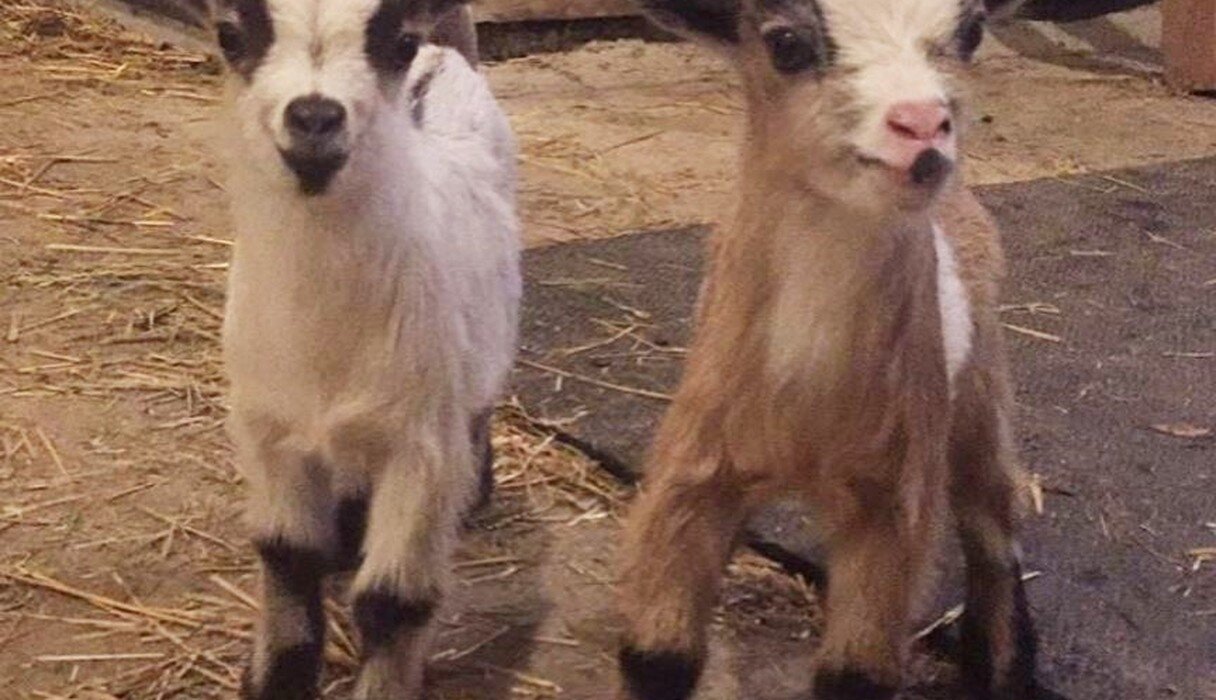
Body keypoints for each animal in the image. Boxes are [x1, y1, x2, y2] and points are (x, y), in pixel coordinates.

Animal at [211, 1, 520, 698]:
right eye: (230, 34)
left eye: (396, 42)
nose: (314, 117)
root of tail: (443, 56)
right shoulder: (267, 427)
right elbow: (288, 557)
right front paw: (274, 679)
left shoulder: (422, 448)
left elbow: (392, 603)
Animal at [616, 1, 1038, 699]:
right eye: (785, 43)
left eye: (972, 30)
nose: (922, 124)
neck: (804, 401)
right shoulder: (692, 470)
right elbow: (656, 659)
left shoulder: (893, 497)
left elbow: (856, 676)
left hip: (980, 392)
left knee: (994, 526)